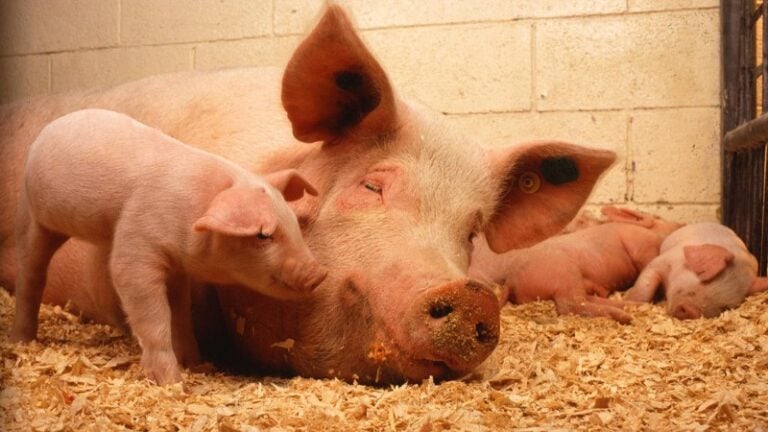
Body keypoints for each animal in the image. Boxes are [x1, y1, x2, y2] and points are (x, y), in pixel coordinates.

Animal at [10, 108, 326, 384]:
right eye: (263, 235)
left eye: (293, 223)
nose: (319, 273)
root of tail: (49, 129)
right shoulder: (136, 244)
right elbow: (153, 314)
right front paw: (171, 382)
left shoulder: (176, 268)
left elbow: (181, 314)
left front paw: (196, 365)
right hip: (37, 219)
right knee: (31, 272)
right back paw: (22, 341)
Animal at [470, 206, 683, 323]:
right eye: (660, 218)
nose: (681, 224)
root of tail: (511, 281)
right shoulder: (641, 246)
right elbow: (645, 262)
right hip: (565, 274)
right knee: (571, 305)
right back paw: (627, 317)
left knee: (586, 300)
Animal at [624, 222, 768, 319]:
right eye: (705, 280)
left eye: (725, 307)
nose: (691, 311)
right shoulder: (662, 261)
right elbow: (646, 286)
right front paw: (629, 299)